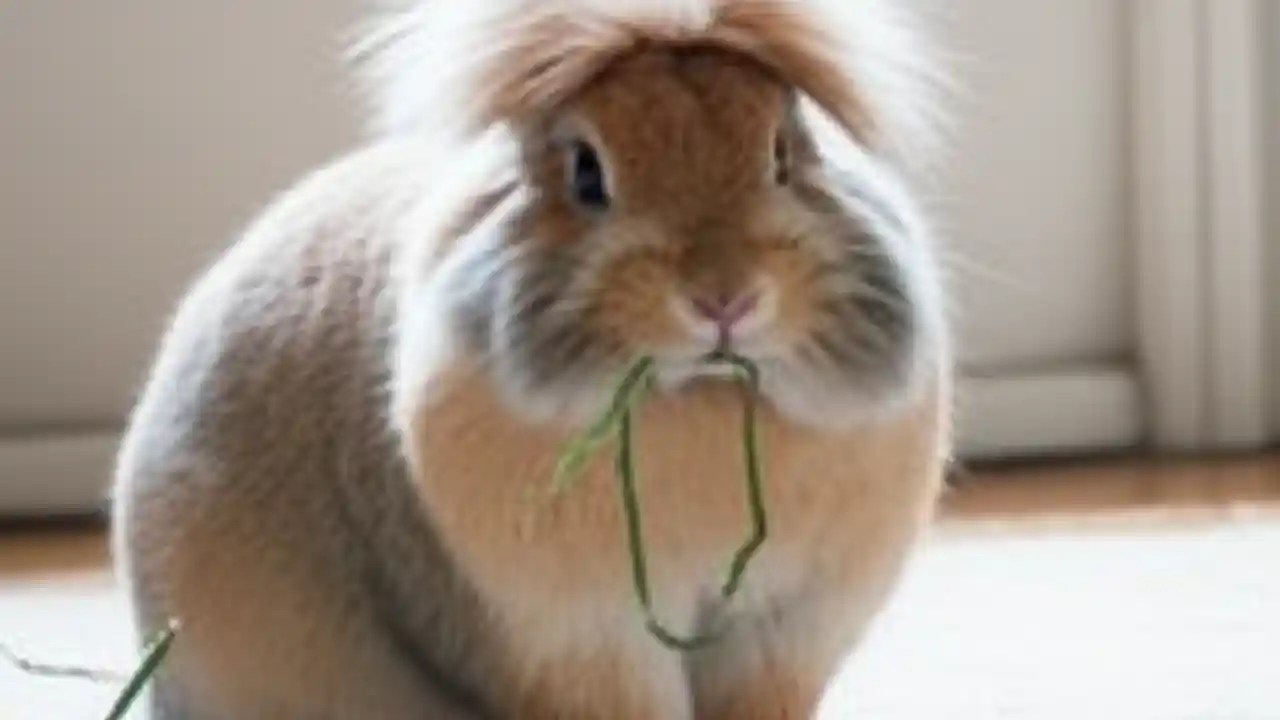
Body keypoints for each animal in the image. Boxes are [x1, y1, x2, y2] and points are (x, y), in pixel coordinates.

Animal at [113, 1, 952, 718]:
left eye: (785, 152)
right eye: (585, 172)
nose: (725, 299)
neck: (699, 399)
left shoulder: (785, 633)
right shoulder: (580, 638)